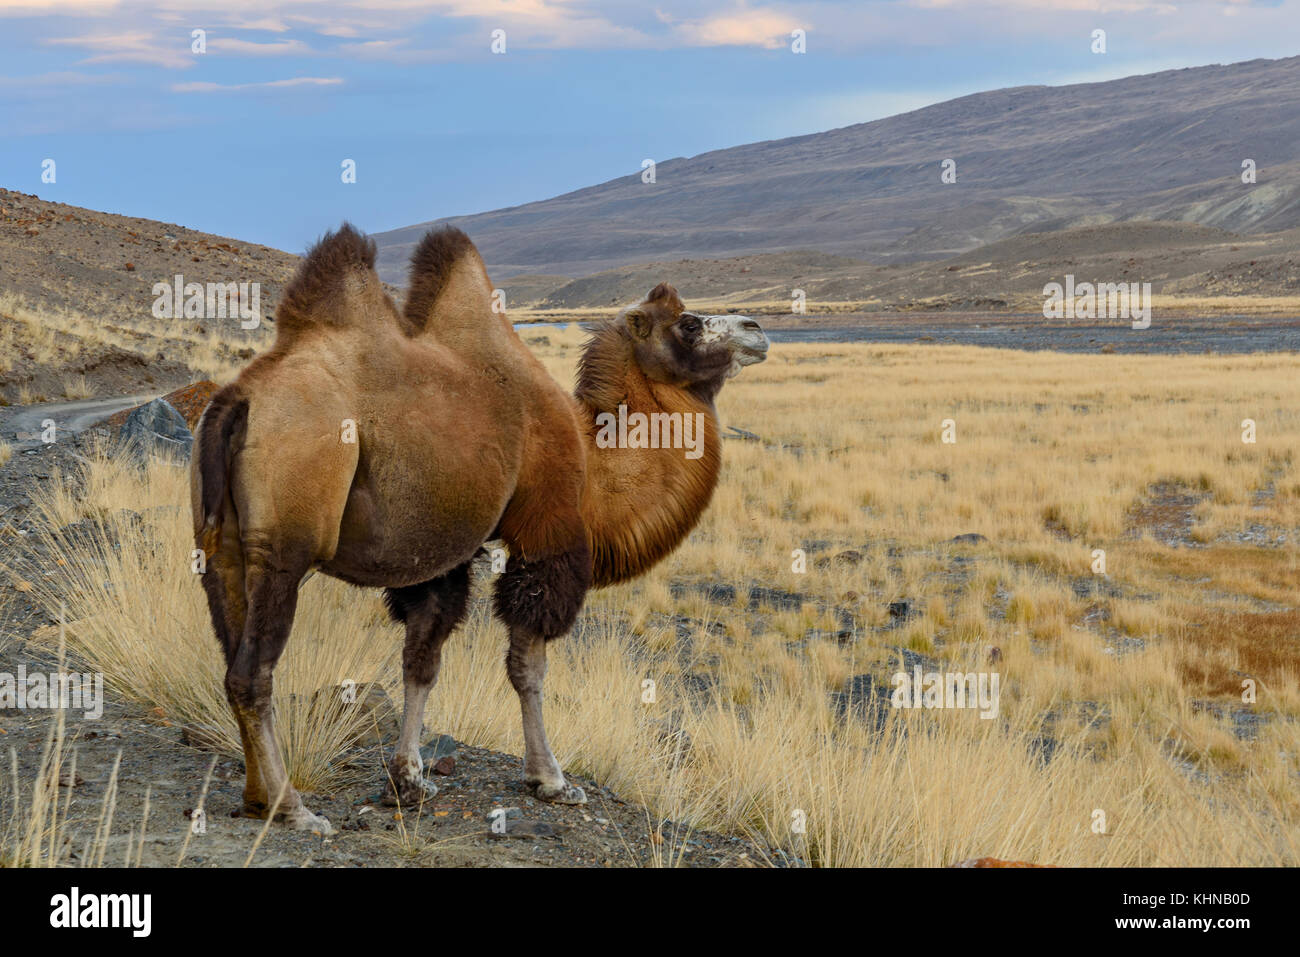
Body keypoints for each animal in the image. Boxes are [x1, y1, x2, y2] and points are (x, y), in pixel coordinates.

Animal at [191, 224, 768, 830]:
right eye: (688, 323)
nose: (757, 331)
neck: (591, 459)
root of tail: (239, 399)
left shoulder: (441, 556)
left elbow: (421, 660)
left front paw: (409, 780)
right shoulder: (547, 534)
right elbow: (527, 667)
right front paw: (552, 780)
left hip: (220, 546)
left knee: (230, 655)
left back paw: (256, 796)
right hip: (288, 539)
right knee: (252, 672)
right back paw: (293, 808)